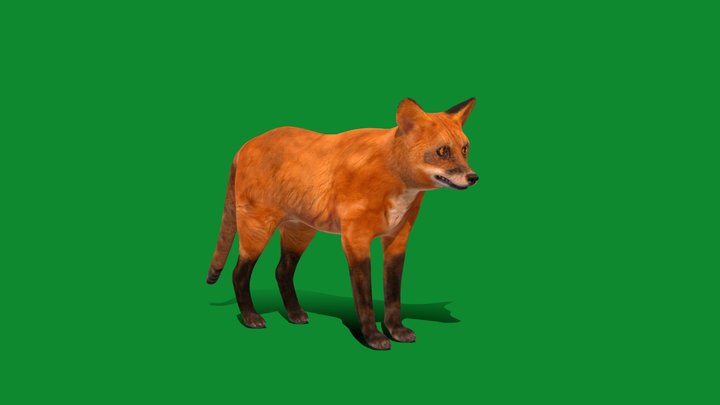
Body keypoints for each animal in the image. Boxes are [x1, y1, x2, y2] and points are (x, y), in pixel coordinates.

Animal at [206, 98, 478, 350]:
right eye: (442, 151)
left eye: (465, 149)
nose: (473, 177)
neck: (395, 182)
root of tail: (246, 144)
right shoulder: (355, 239)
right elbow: (365, 299)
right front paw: (373, 338)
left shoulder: (397, 239)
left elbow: (393, 295)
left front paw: (396, 330)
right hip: (258, 231)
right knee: (238, 274)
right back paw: (251, 317)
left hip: (299, 234)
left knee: (282, 271)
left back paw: (295, 314)